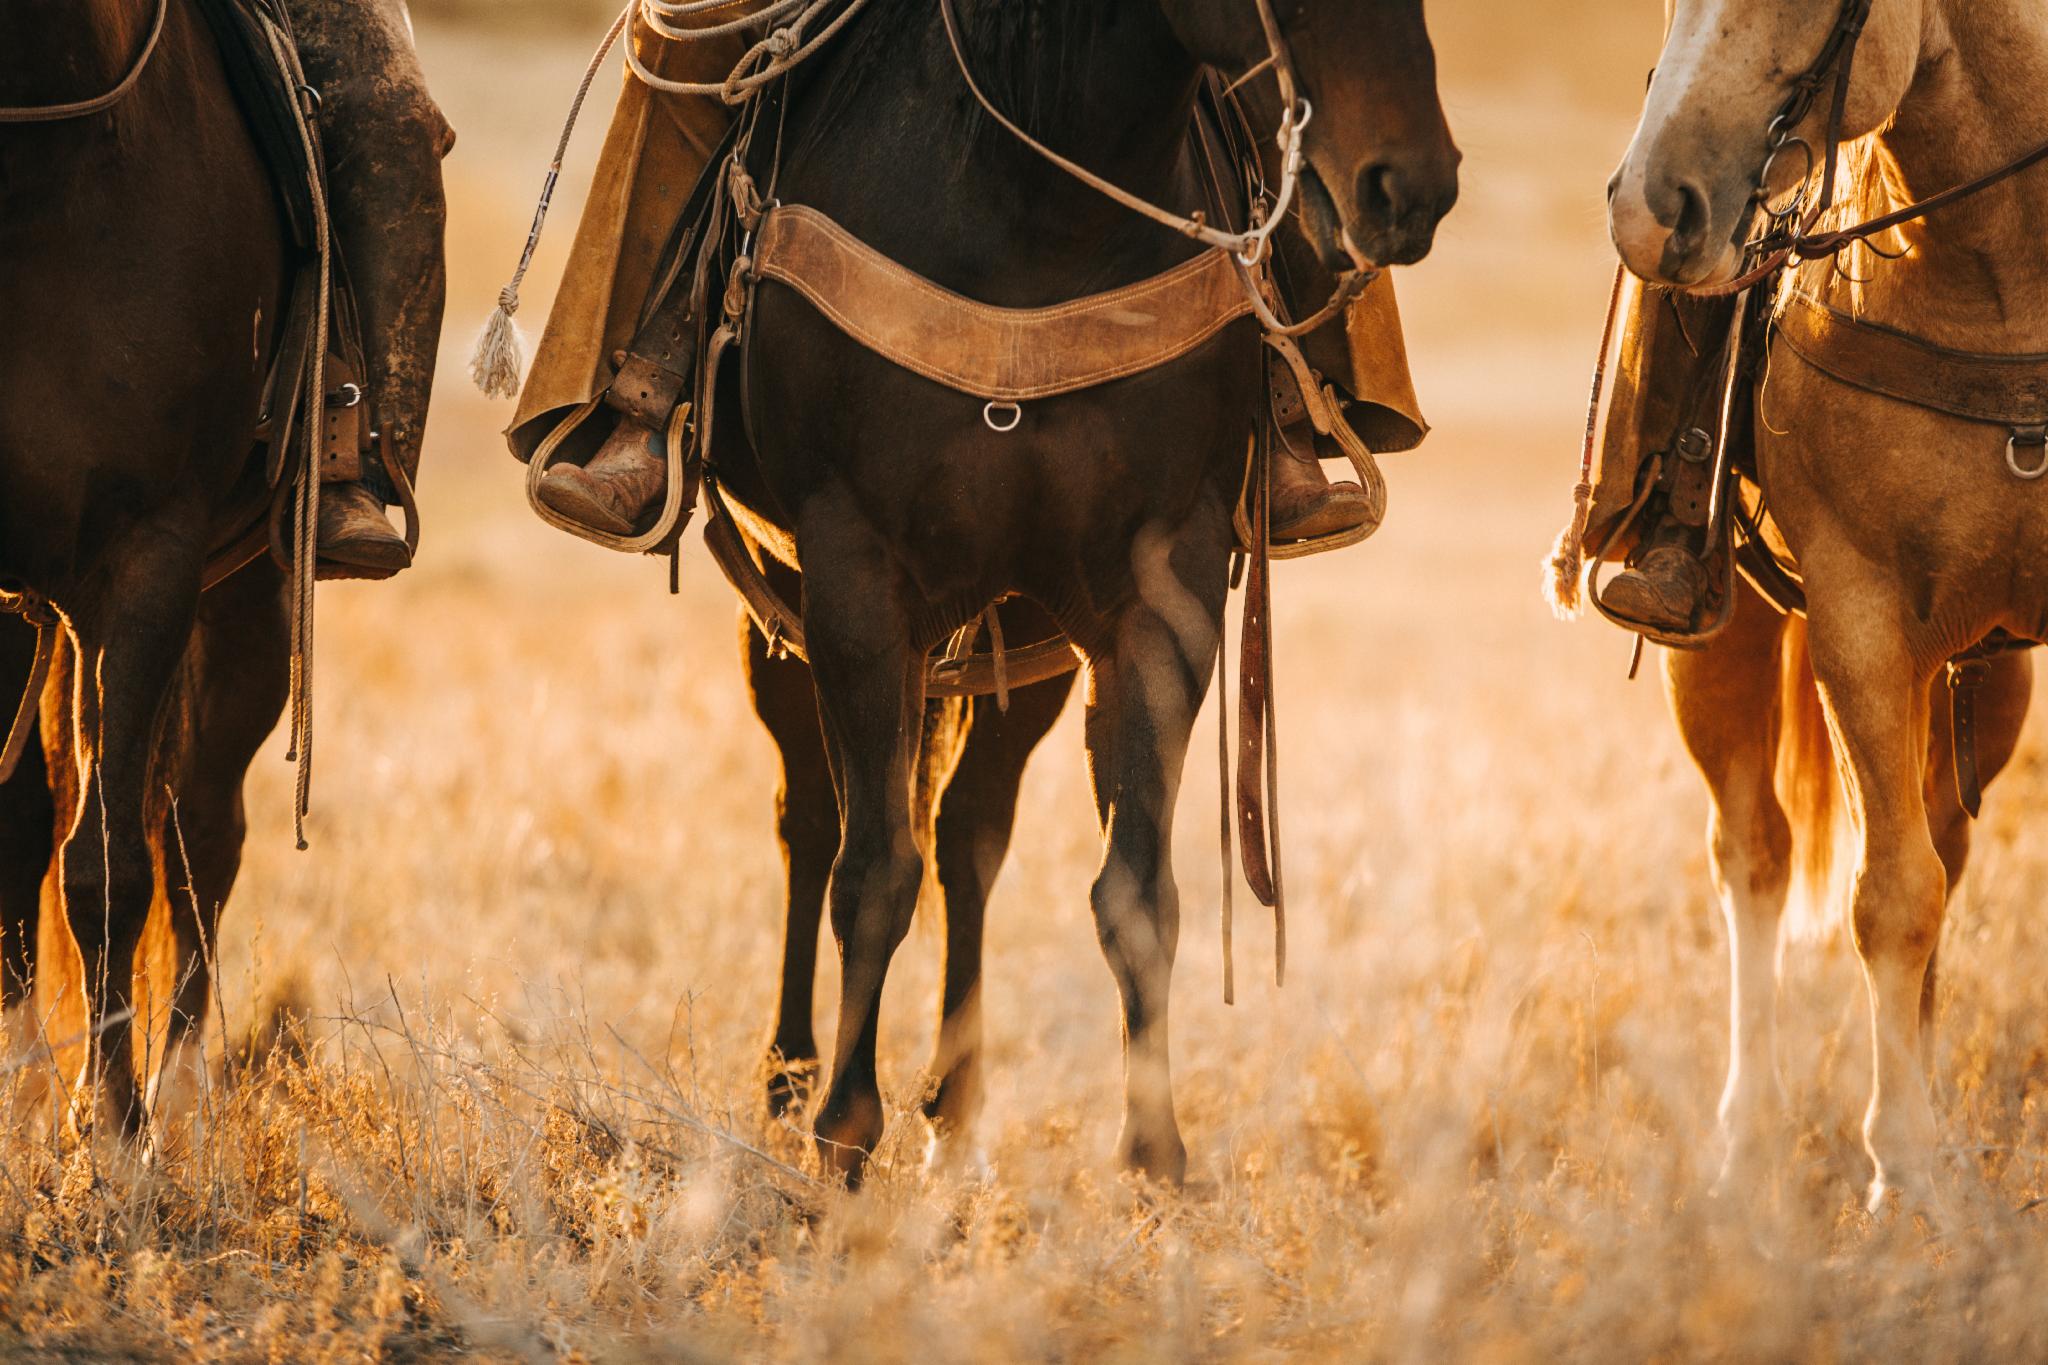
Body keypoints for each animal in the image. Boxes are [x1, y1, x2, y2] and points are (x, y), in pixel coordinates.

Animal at [0, 0, 297, 1136]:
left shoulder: (148, 563)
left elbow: (113, 867)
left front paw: (115, 1126)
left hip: (244, 608)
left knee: (199, 833)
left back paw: (178, 1095)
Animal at [709, 0, 1457, 1184]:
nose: (1407, 185)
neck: (1030, 206)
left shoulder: (1162, 584)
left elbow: (1135, 888)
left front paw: (1156, 1156)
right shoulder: (849, 573)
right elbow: (871, 870)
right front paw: (842, 1135)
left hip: (1022, 630)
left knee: (969, 830)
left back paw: (955, 1100)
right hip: (787, 599)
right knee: (817, 818)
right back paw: (790, 1076)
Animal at [1607, 0, 2048, 1212]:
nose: (1648, 210)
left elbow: (1924, 879)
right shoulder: (1859, 624)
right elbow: (1887, 897)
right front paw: (1899, 1172)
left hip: (1987, 671)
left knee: (1944, 842)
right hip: (1721, 644)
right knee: (1754, 854)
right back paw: (1746, 1138)